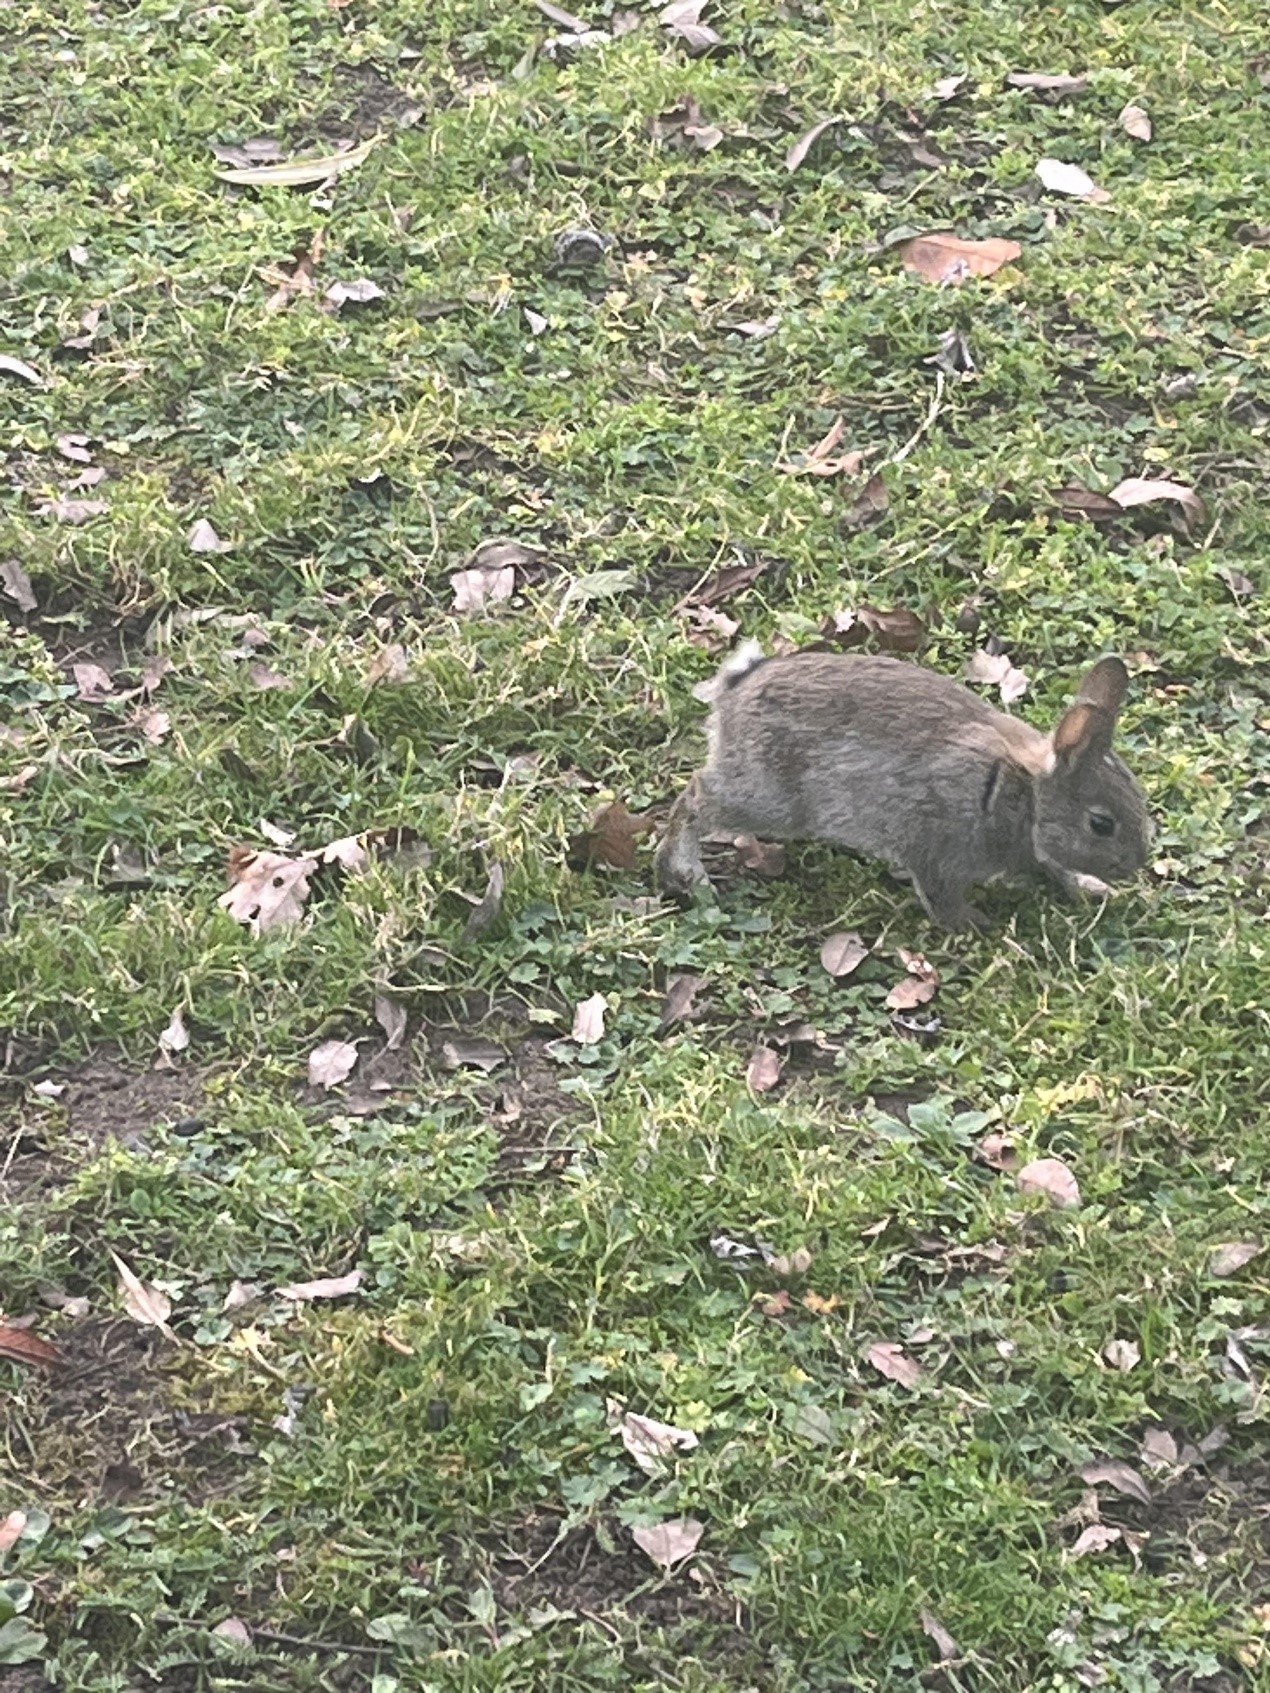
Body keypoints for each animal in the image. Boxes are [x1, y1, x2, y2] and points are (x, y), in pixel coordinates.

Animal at [655, 643, 1151, 931]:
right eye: (1101, 824)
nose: (1136, 864)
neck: (1023, 796)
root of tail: (735, 692)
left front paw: (1091, 888)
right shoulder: (936, 842)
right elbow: (939, 893)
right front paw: (972, 923)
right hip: (769, 798)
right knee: (695, 798)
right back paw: (684, 872)